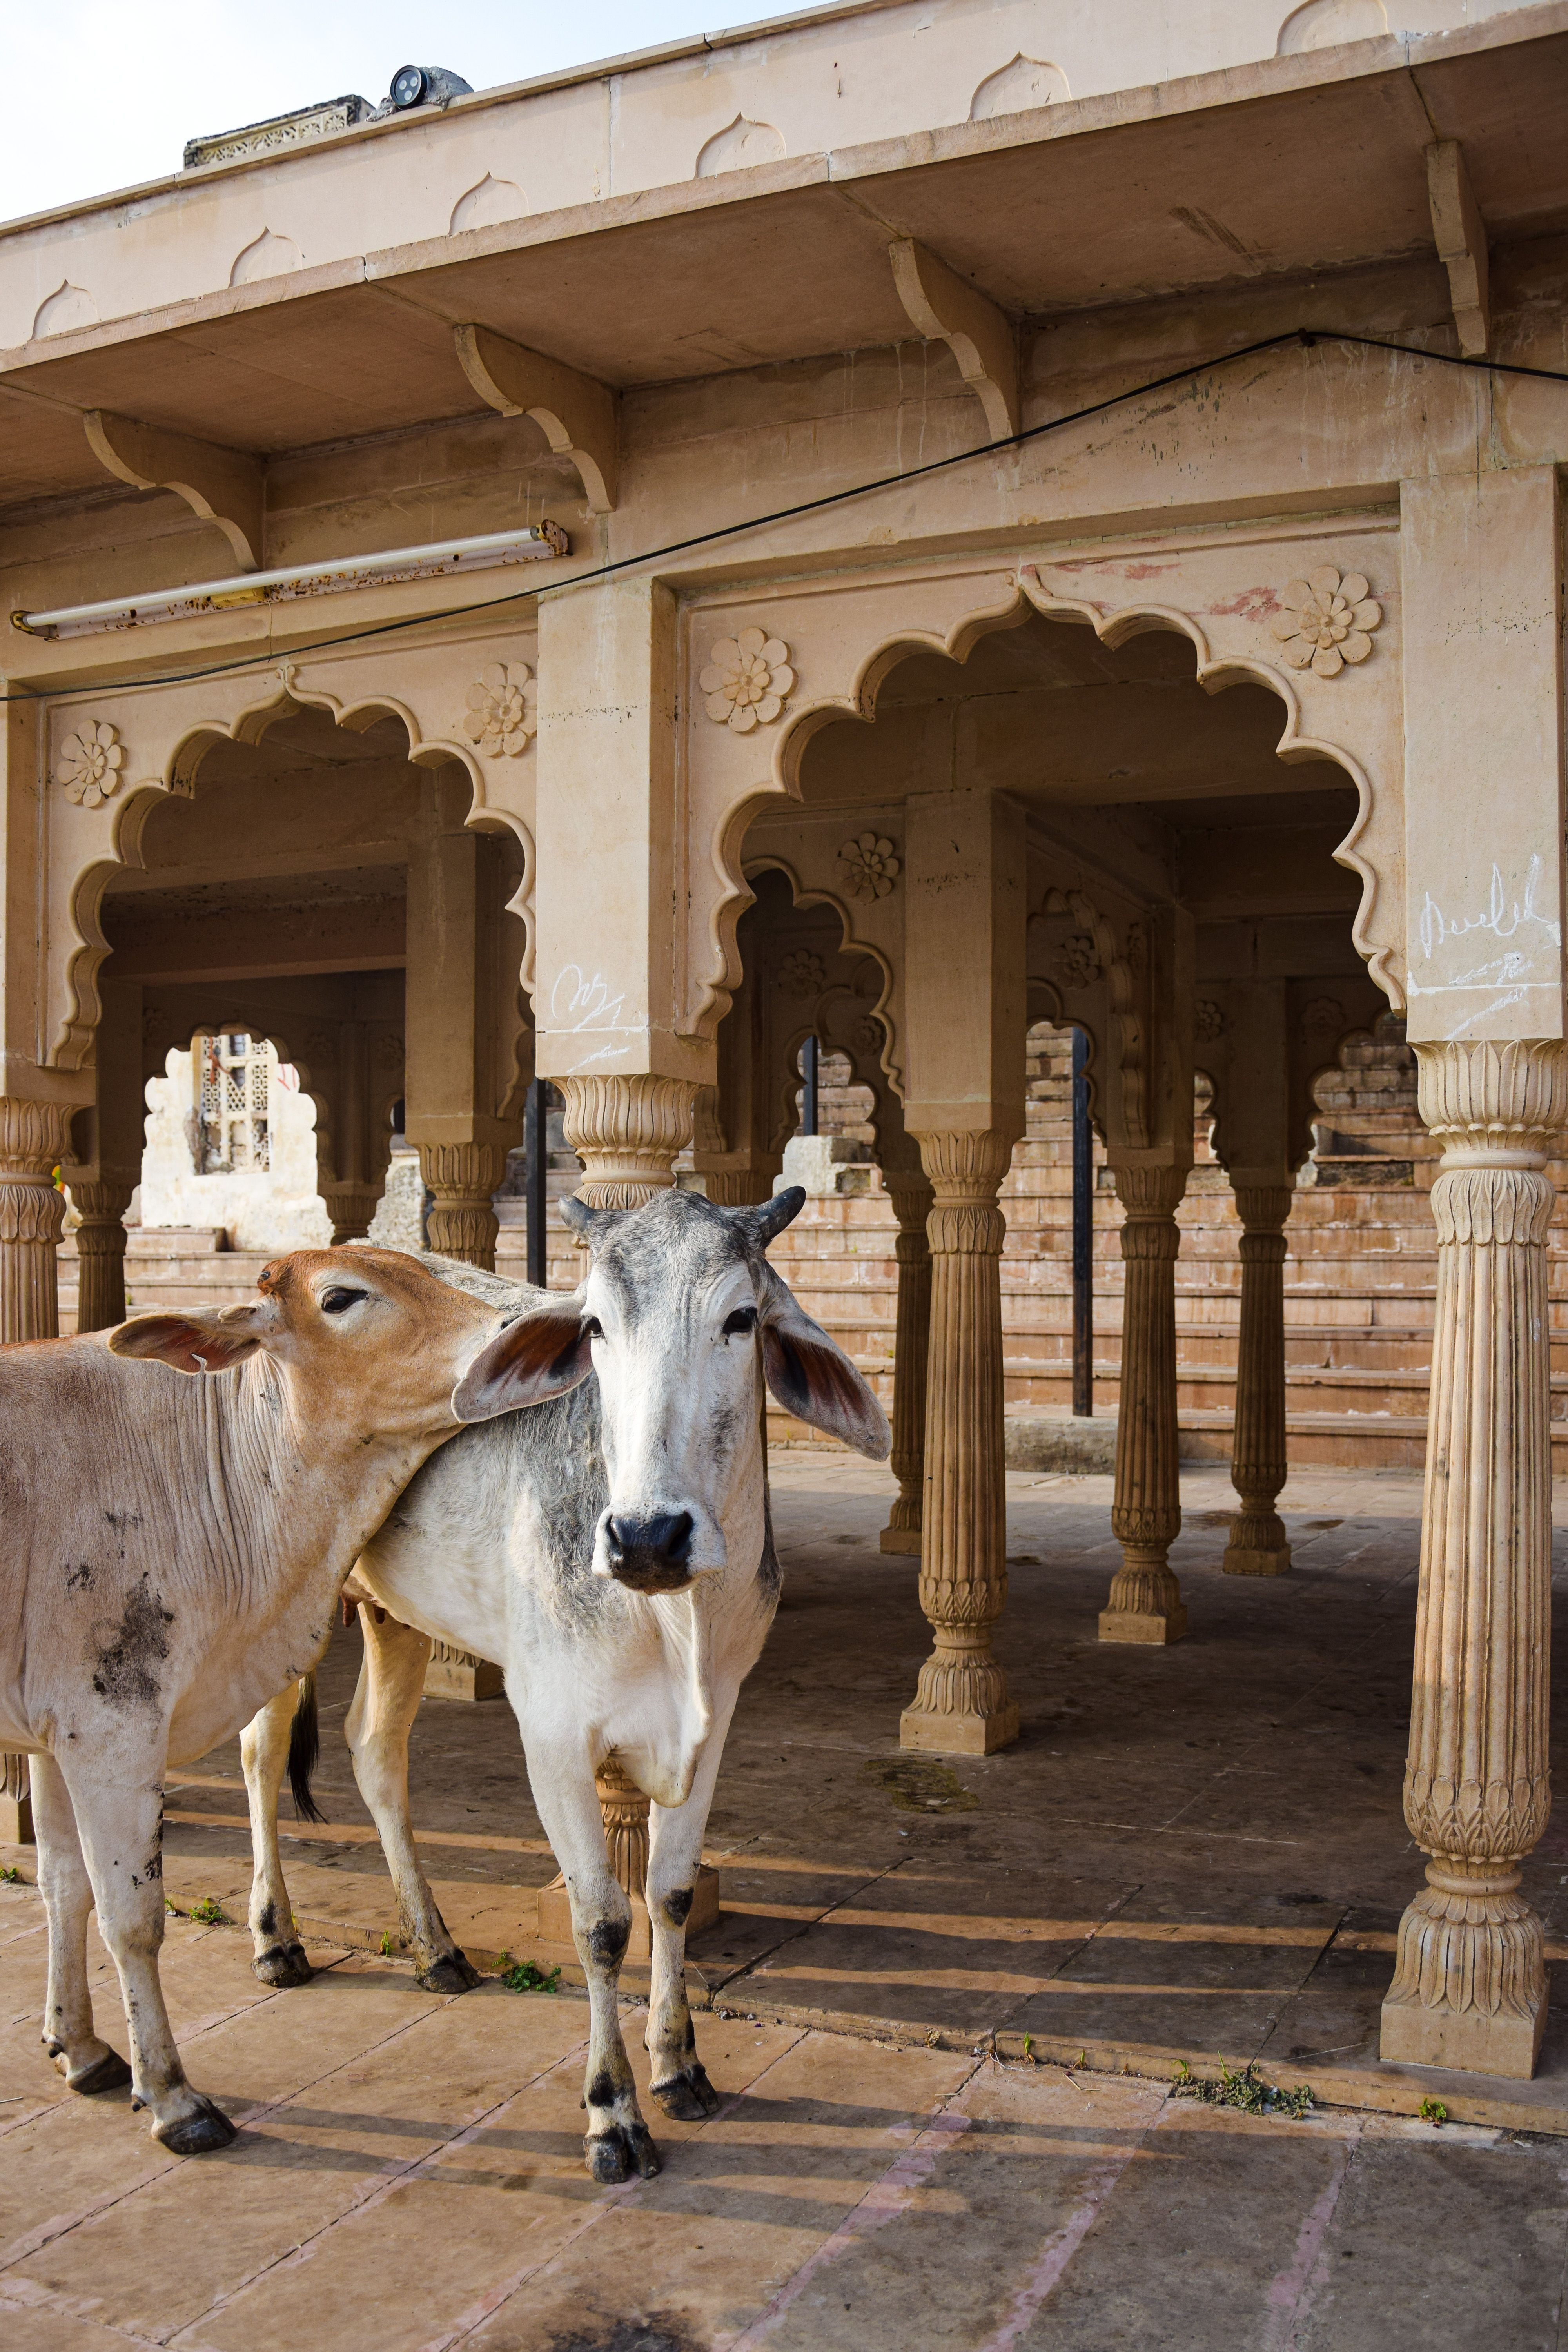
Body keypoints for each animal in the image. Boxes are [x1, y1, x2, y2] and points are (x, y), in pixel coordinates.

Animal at [0, 1247, 555, 2153]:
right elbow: (130, 1917)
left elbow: (62, 1886)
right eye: (341, 1298)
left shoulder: (54, 1730)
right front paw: (172, 2096)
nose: (533, 1330)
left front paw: (78, 2046)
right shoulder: (109, 1727)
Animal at [238, 1186, 890, 2184]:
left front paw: (679, 2065)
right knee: (264, 1751)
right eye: (593, 1327)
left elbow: (669, 1892)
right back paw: (277, 1938)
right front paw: (611, 2113)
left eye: (740, 1319)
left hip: (393, 1618)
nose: (649, 1537)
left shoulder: (717, 1721)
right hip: (285, 1606)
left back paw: (435, 1948)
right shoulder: (549, 1730)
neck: (674, 1614)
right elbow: (601, 1922)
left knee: (375, 1754)